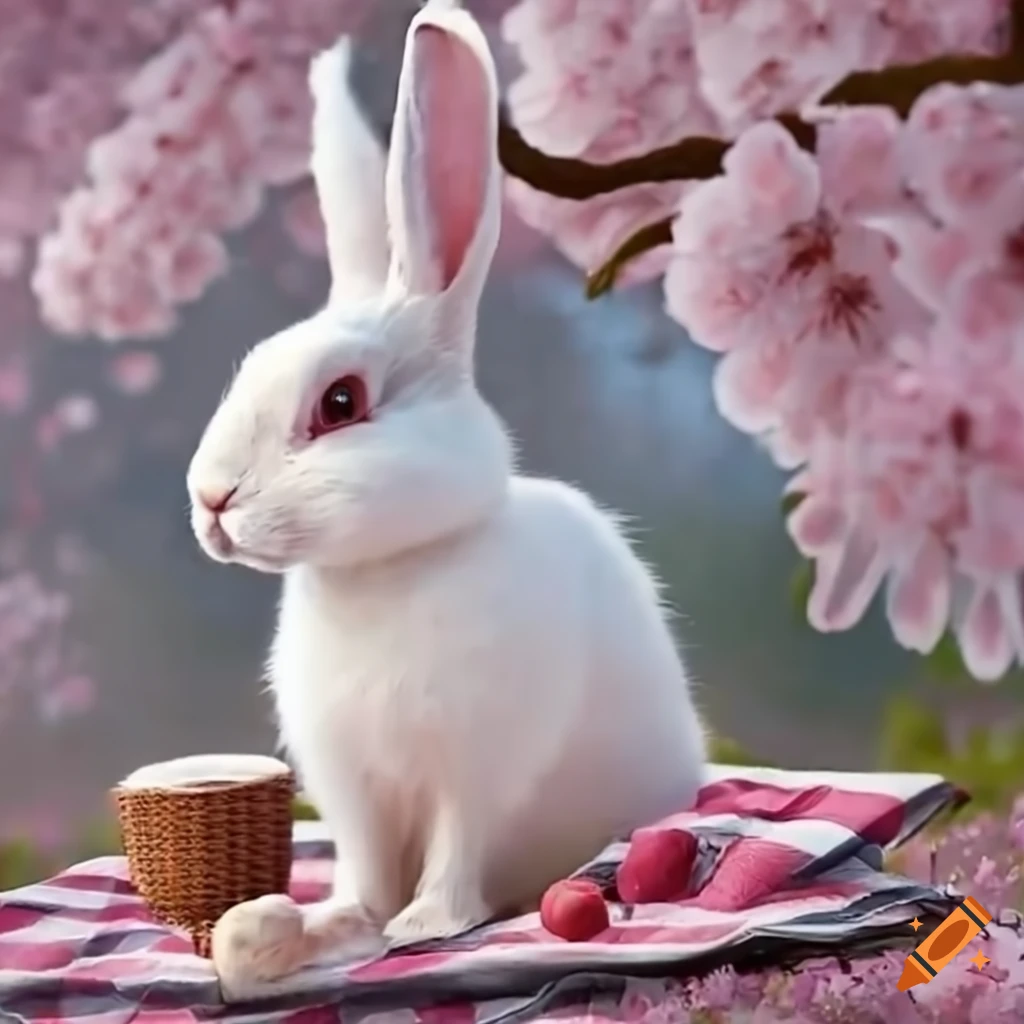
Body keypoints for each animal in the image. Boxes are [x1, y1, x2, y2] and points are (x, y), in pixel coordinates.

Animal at [186, 0, 706, 1002]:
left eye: (340, 403)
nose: (211, 499)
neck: (388, 570)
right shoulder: (352, 789)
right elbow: (361, 881)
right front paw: (296, 932)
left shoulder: (479, 767)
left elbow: (454, 858)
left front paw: (426, 926)